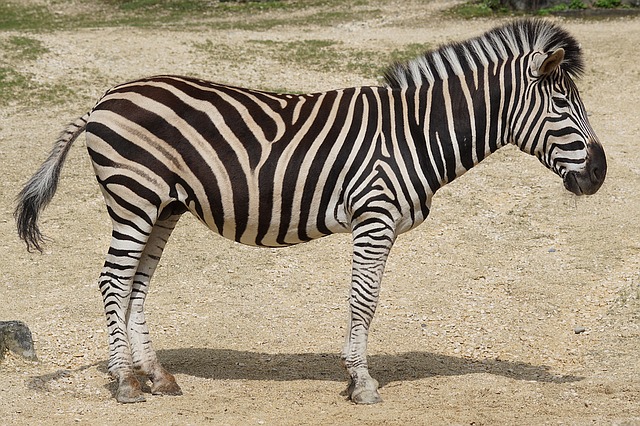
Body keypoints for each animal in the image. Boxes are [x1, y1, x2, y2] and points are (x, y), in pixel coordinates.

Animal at [15, 19, 606, 404]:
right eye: (562, 105)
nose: (600, 173)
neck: (416, 133)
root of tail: (104, 98)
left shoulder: (379, 222)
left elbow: (366, 302)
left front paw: (353, 376)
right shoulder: (374, 216)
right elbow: (364, 301)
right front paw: (361, 383)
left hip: (164, 204)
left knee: (135, 284)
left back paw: (156, 378)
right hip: (134, 196)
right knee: (113, 280)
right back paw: (124, 385)